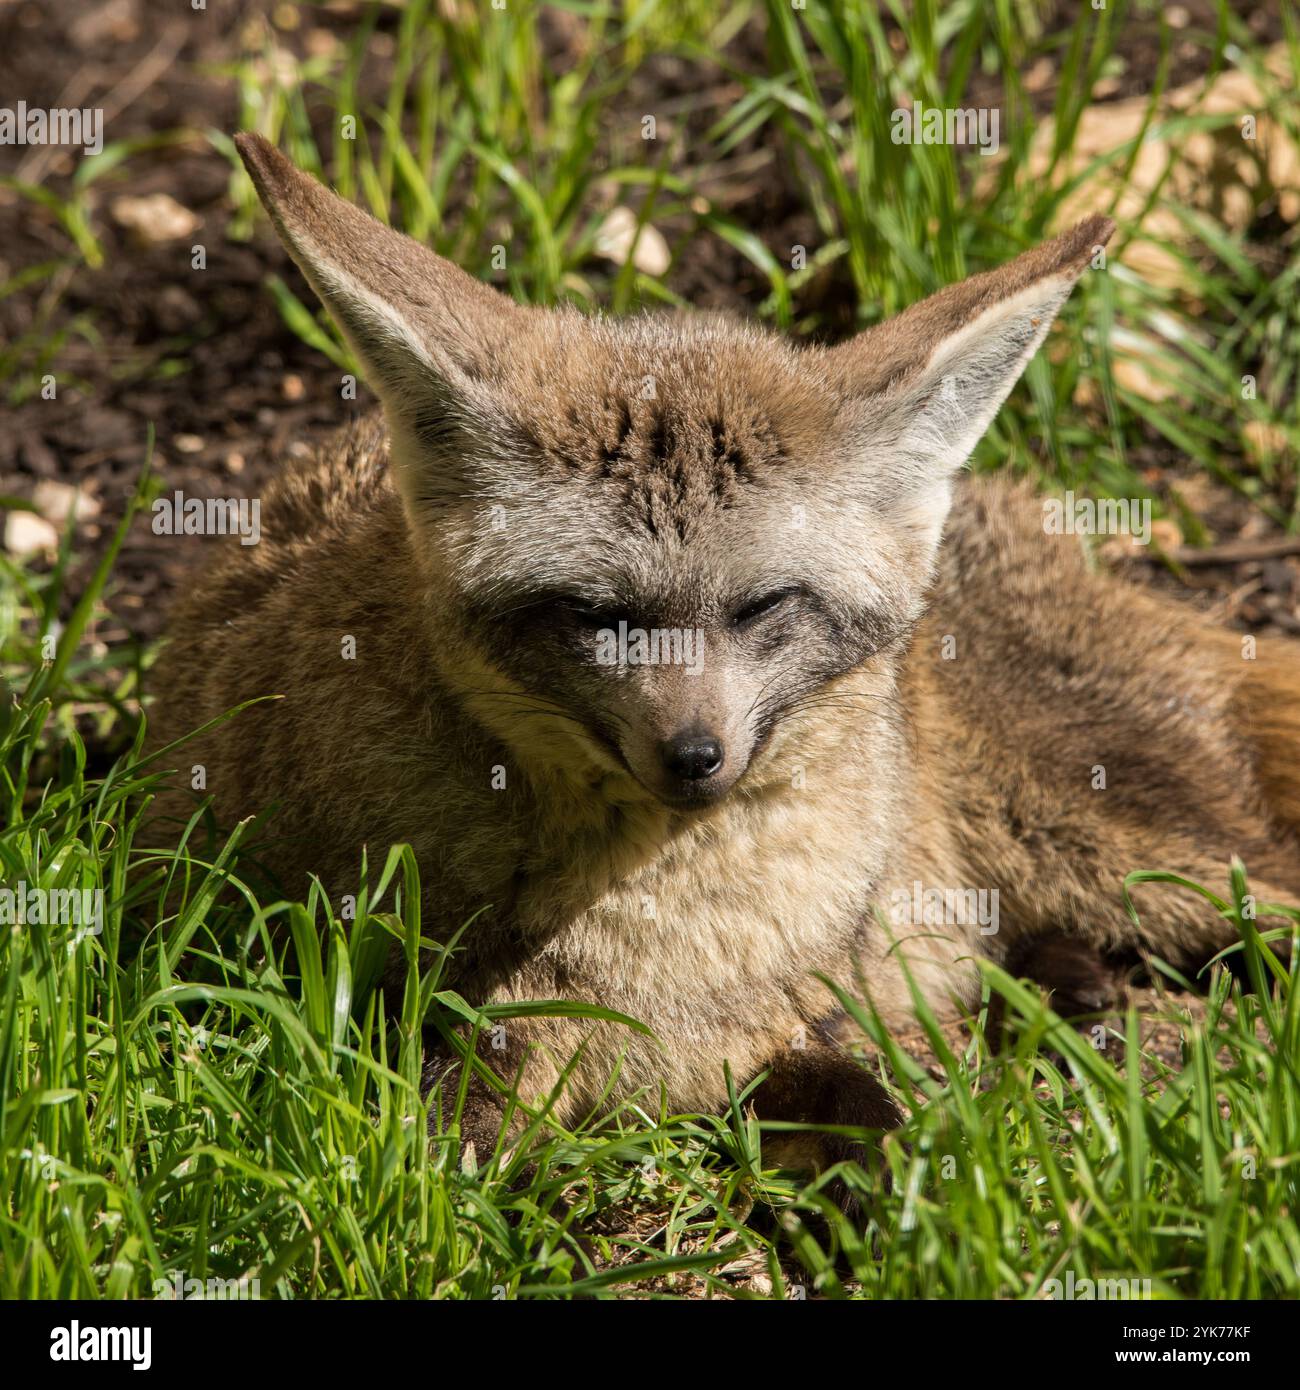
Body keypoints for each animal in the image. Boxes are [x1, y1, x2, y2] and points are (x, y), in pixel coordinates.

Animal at [149, 133, 1300, 1205]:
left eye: (761, 606)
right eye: (599, 618)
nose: (694, 756)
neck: (663, 930)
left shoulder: (778, 1026)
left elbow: (873, 1128)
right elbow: (438, 1172)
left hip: (1137, 854)